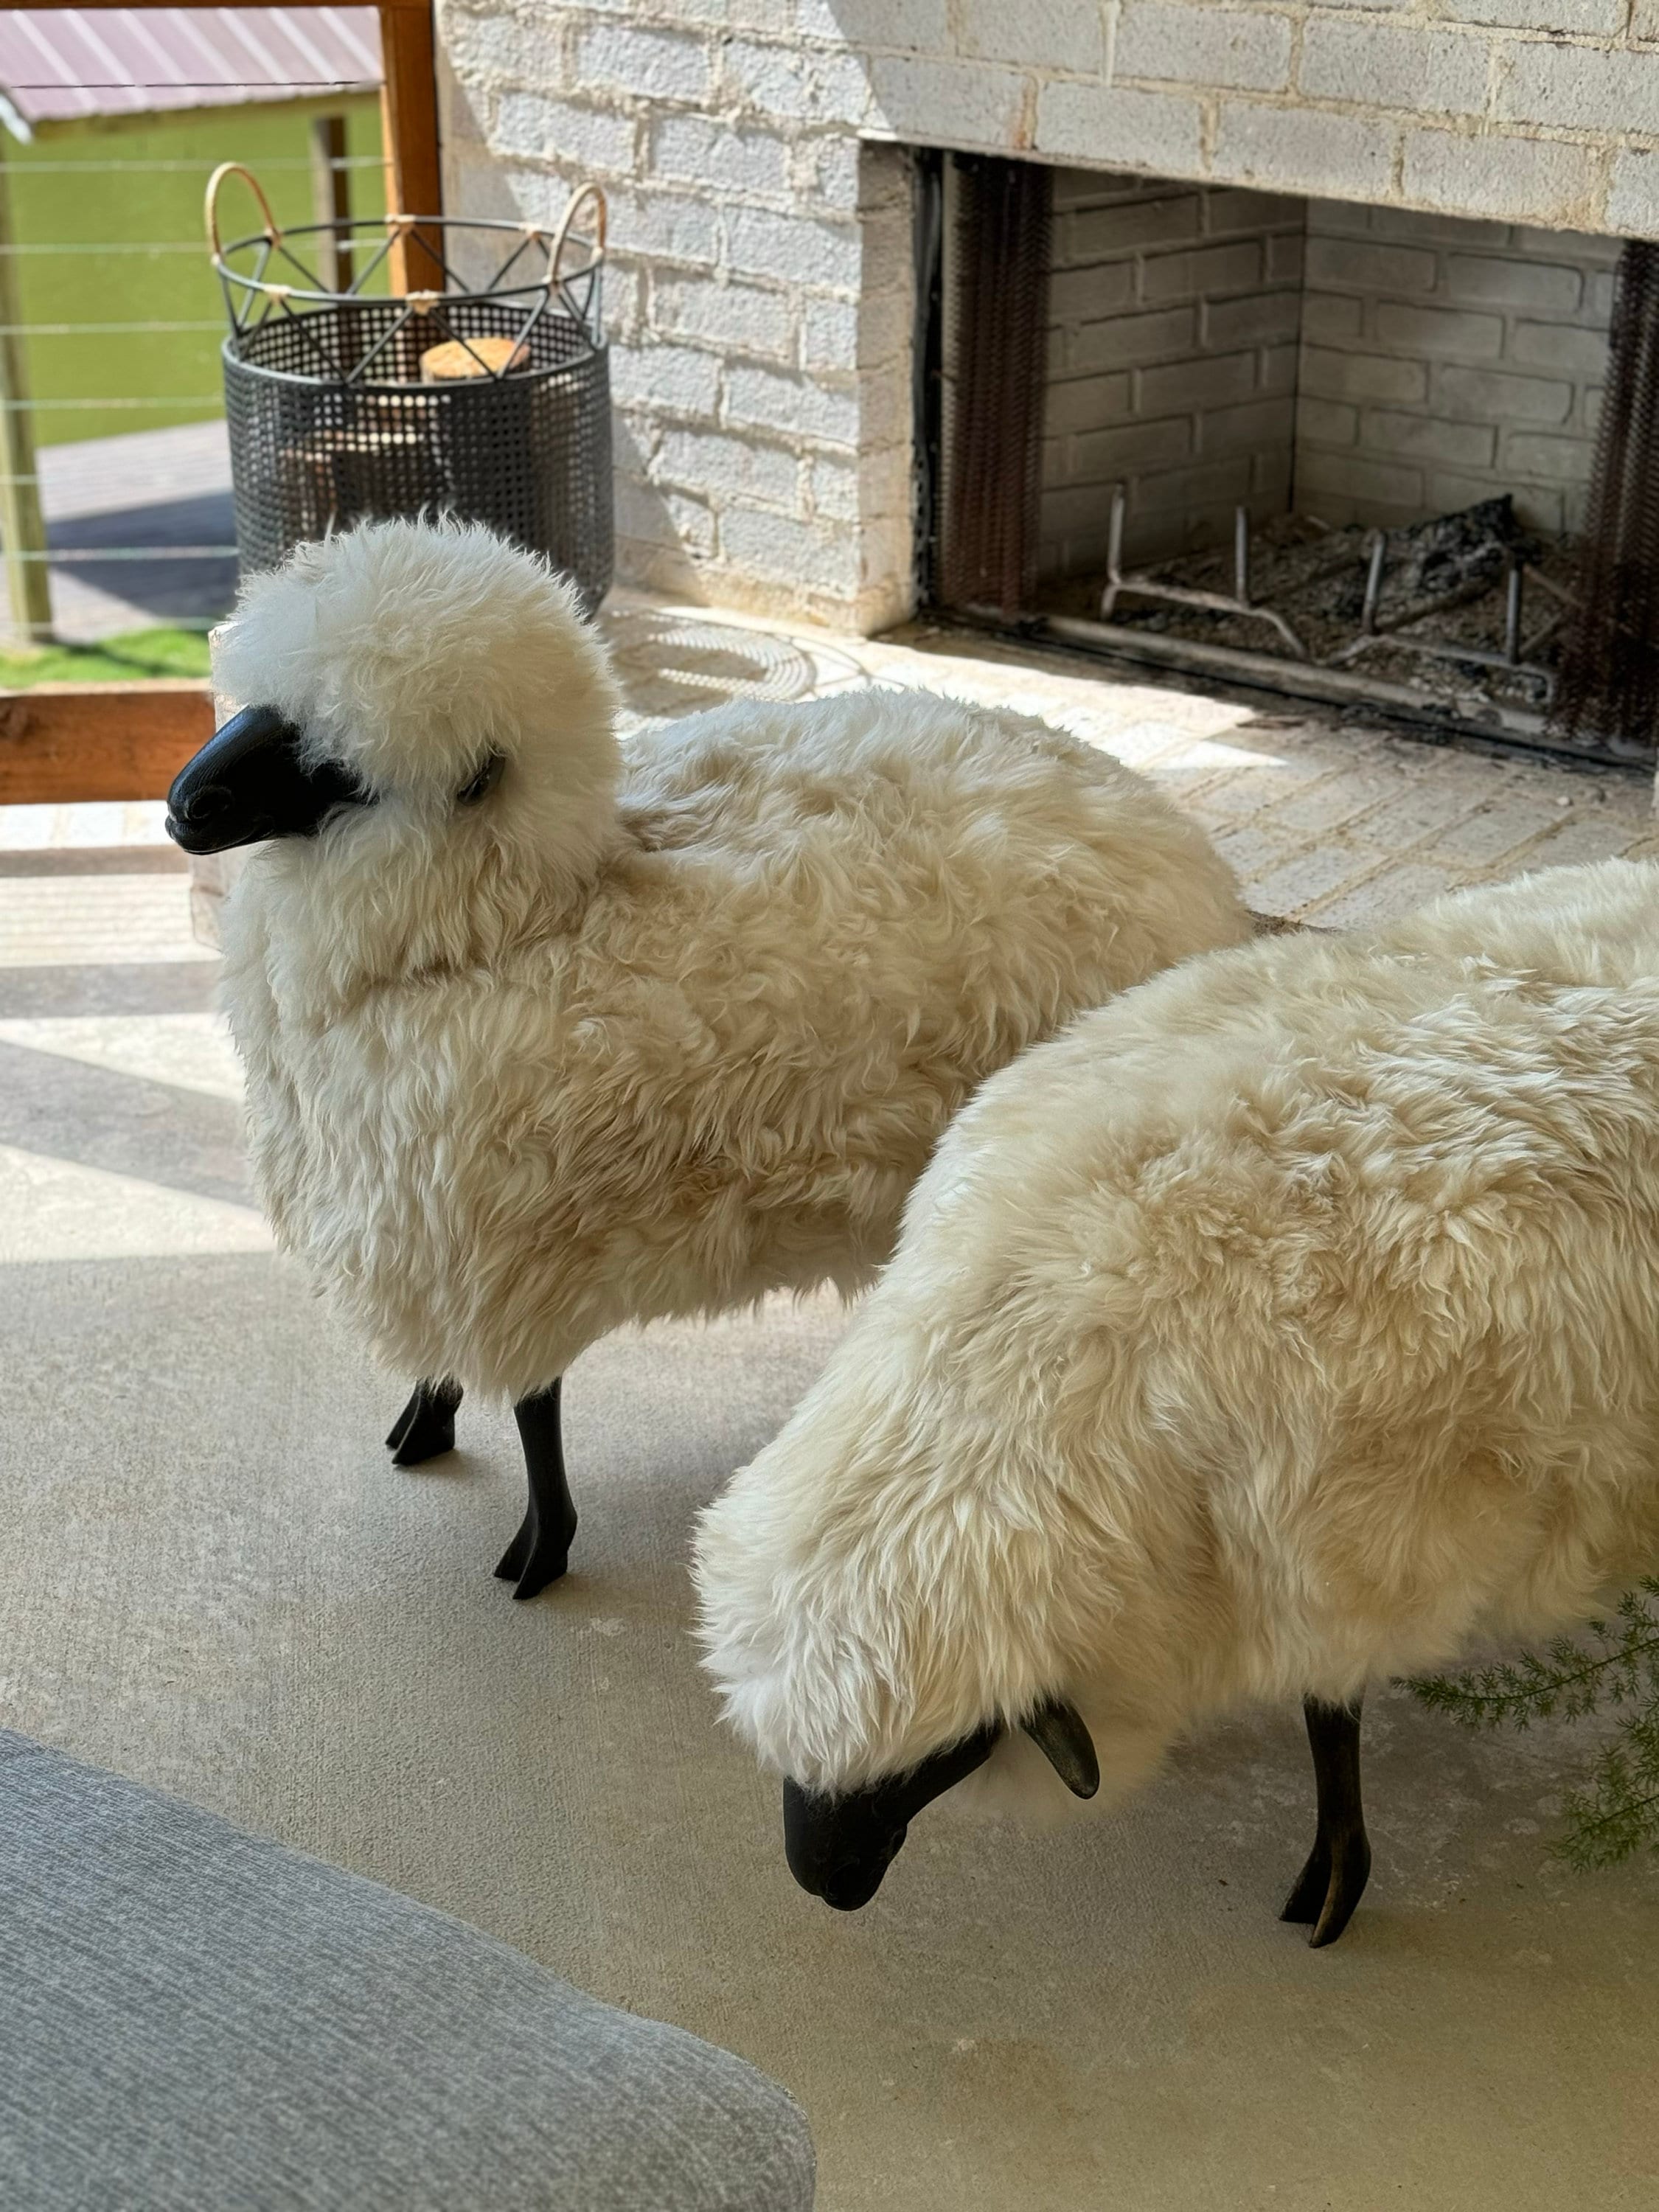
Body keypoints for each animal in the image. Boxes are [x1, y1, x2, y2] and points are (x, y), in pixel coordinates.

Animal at [164, 516, 1253, 1599]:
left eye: (338, 769)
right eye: (263, 707)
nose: (185, 802)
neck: (517, 923)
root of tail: (1187, 852)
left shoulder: (512, 1251)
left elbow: (535, 1407)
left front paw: (541, 1548)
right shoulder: (424, 1226)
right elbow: (453, 1366)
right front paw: (425, 1420)